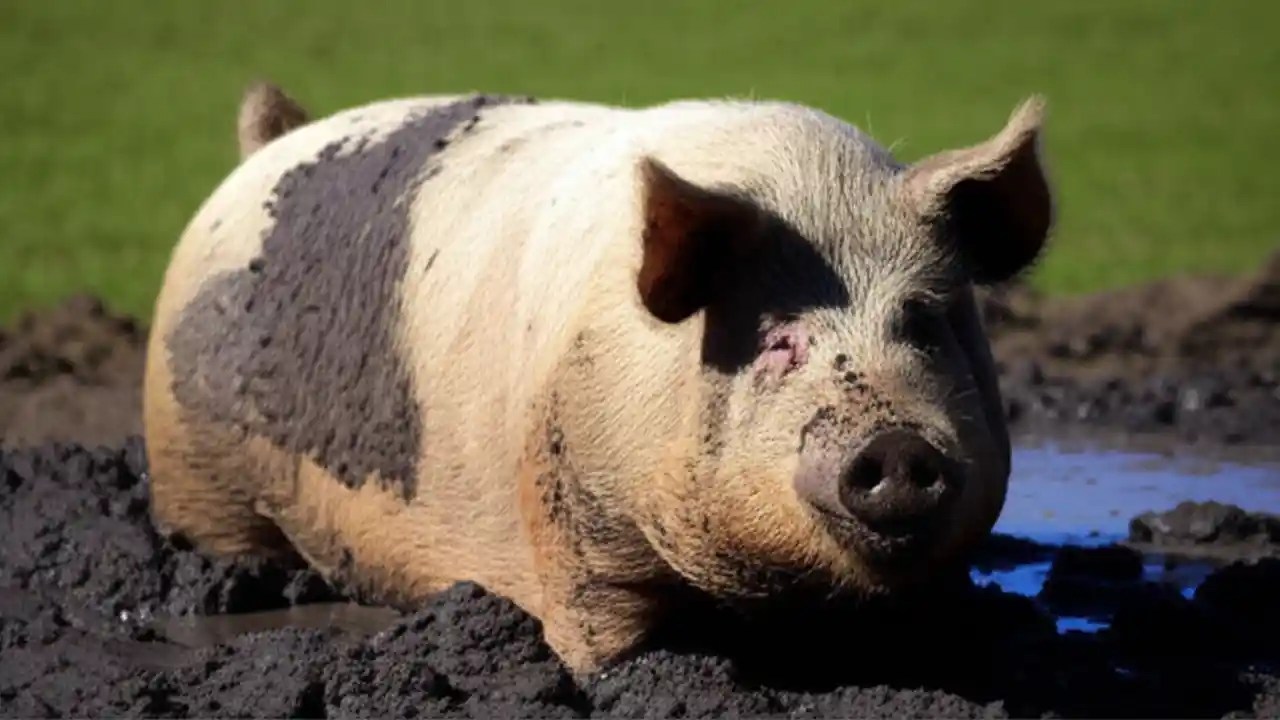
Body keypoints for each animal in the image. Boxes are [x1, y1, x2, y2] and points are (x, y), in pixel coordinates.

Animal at [143, 80, 1054, 674]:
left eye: (925, 321)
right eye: (777, 341)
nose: (897, 444)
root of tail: (265, 148)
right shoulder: (571, 527)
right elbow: (602, 645)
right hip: (192, 463)